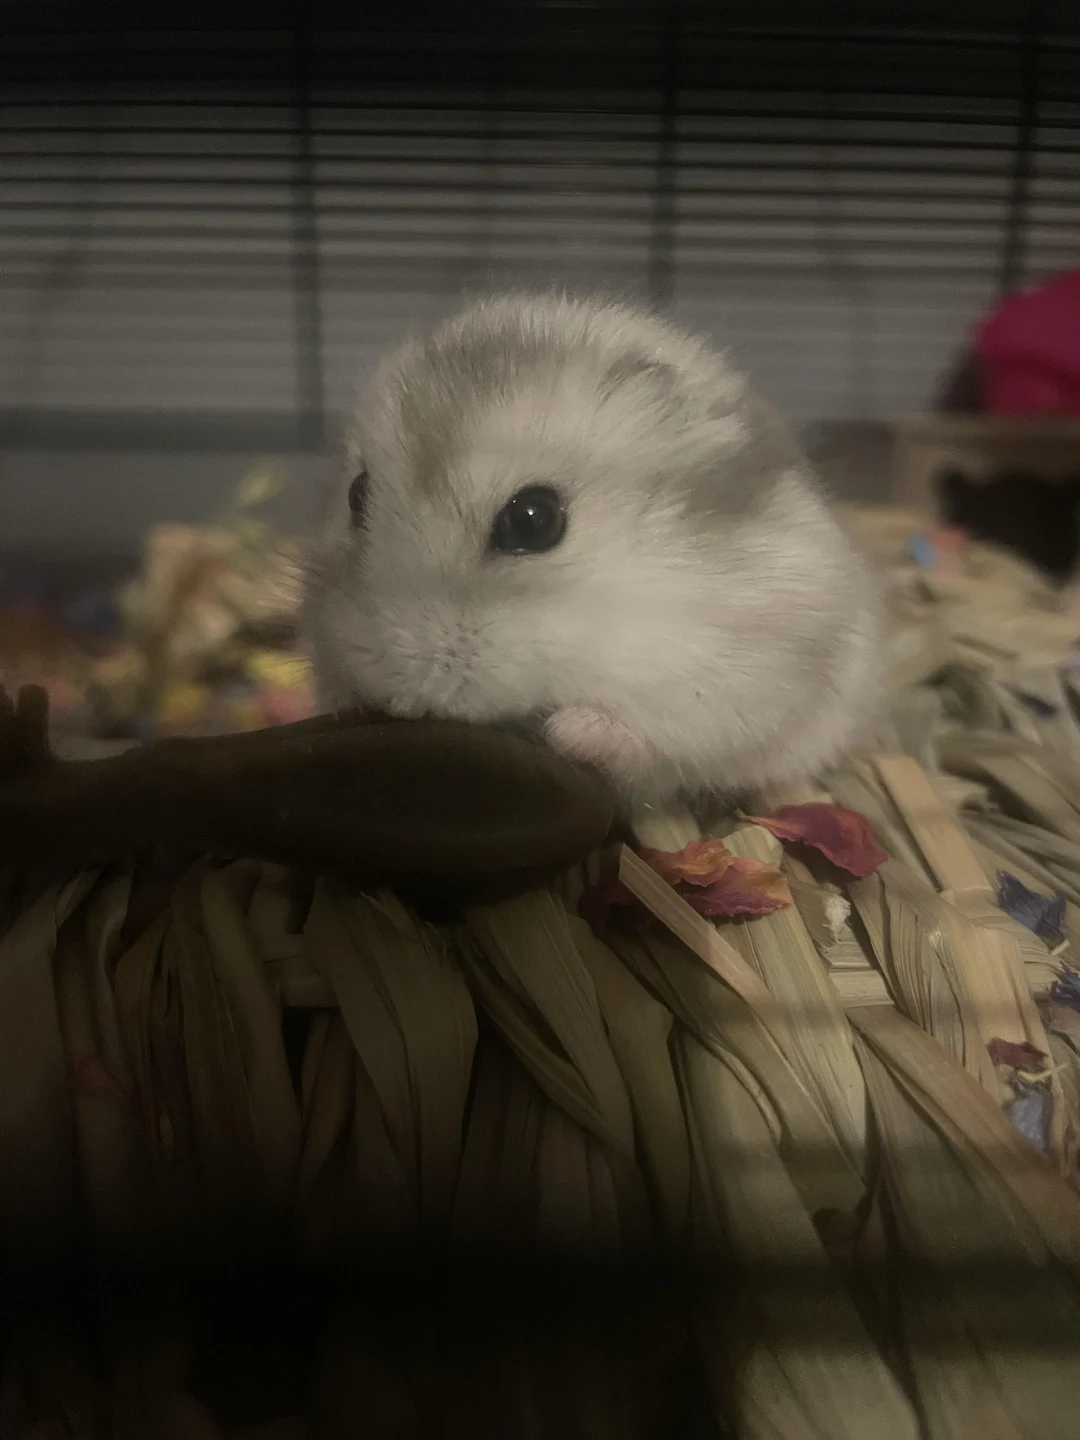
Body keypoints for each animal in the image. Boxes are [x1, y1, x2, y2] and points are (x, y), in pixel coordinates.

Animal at [302, 293, 882, 810]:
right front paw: (347, 703)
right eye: (356, 495)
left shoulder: (730, 675)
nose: (402, 700)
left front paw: (568, 732)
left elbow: (654, 737)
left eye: (533, 519)